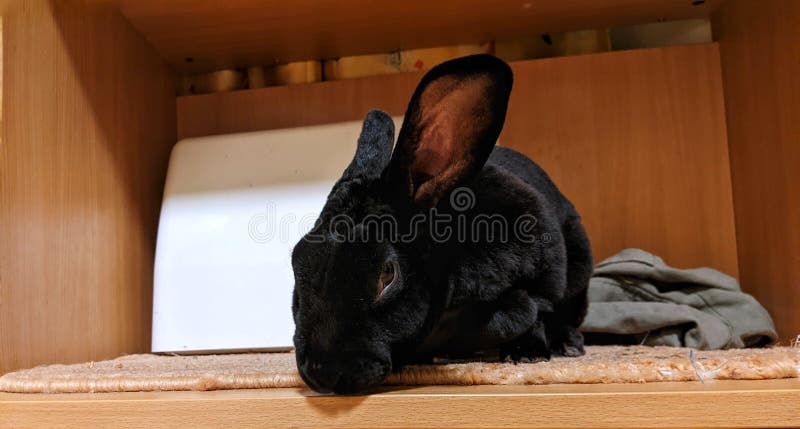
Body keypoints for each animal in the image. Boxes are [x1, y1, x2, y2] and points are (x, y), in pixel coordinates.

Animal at [291, 54, 592, 394]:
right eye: (296, 261)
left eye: (388, 275)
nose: (323, 373)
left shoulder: (543, 280)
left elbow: (531, 313)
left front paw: (527, 353)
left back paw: (568, 345)